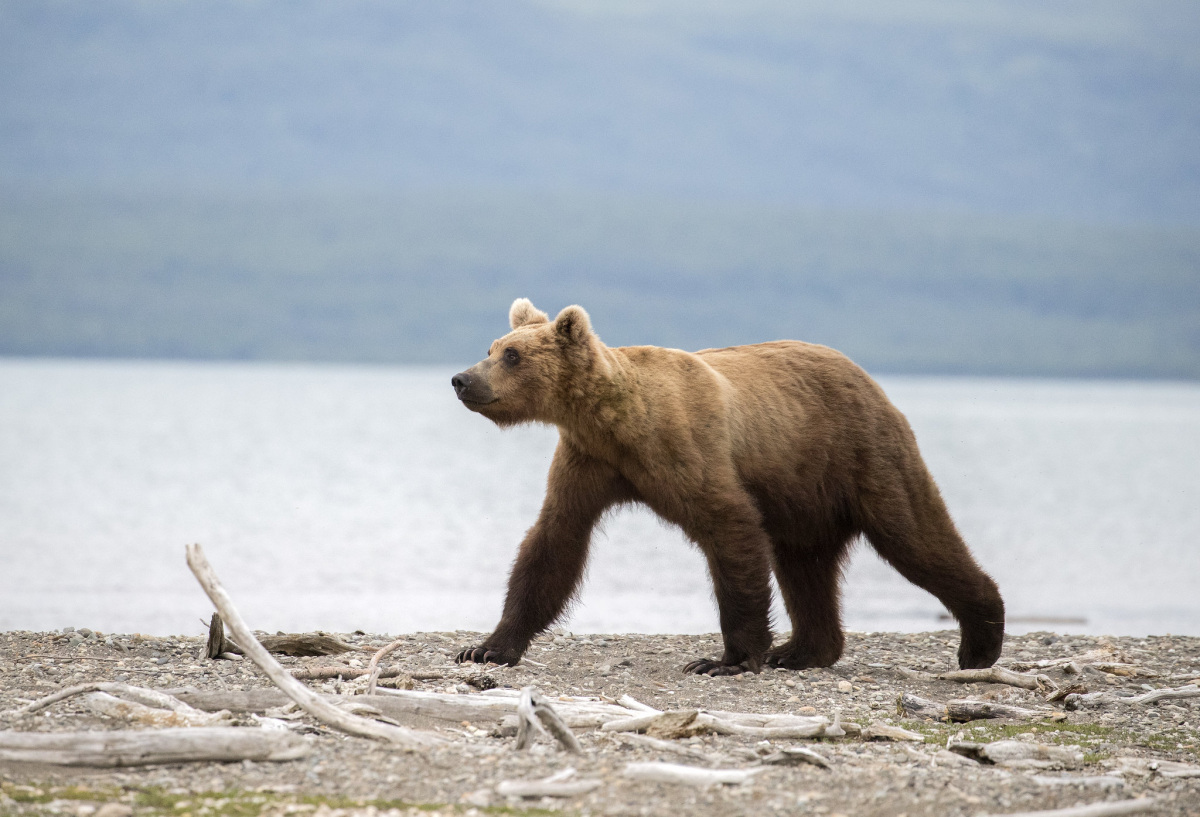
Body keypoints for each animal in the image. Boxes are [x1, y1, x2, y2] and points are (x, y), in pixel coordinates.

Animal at [451, 298, 1004, 675]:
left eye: (513, 355)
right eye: (491, 349)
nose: (461, 379)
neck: (617, 422)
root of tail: (869, 379)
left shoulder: (685, 450)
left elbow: (729, 528)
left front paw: (725, 659)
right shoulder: (590, 462)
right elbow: (554, 541)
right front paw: (487, 647)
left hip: (859, 454)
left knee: (913, 535)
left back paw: (981, 640)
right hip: (803, 494)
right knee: (805, 565)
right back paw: (801, 651)